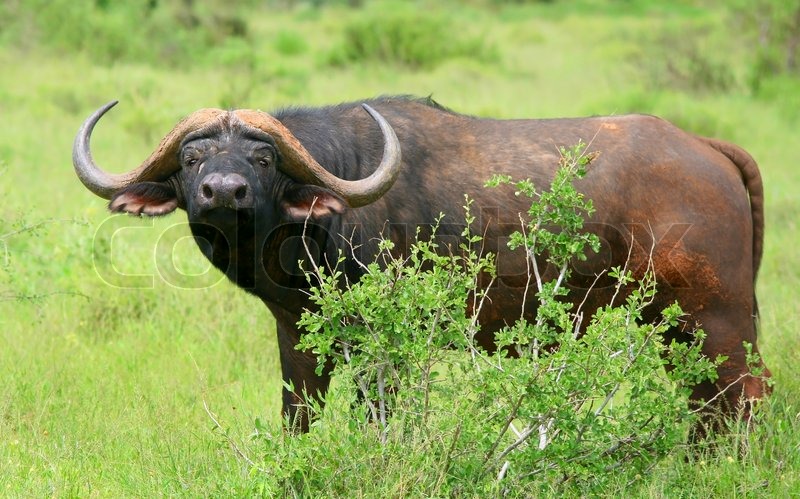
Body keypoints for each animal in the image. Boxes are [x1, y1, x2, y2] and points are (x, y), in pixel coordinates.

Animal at [73, 96, 770, 432]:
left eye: (263, 158)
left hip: (717, 318)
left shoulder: (382, 345)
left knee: (742, 399)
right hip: (680, 326)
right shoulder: (296, 334)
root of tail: (703, 146)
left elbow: (377, 418)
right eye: (191, 159)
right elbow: (298, 417)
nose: (223, 190)